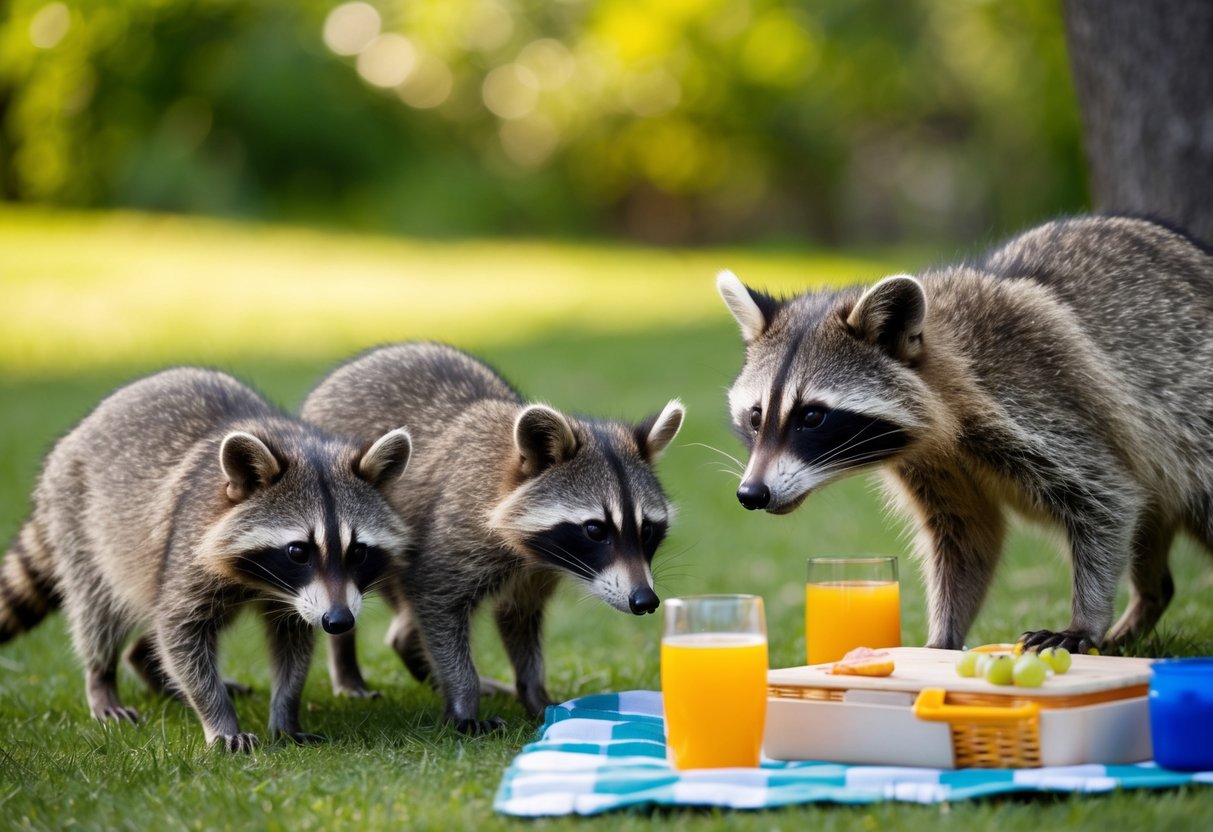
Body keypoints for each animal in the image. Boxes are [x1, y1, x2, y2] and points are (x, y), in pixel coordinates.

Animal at [0, 368, 412, 751]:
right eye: (298, 551)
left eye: (358, 551)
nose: (339, 621)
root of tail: (75, 436)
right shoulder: (189, 543)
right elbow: (179, 629)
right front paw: (218, 718)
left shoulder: (302, 599)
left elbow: (292, 641)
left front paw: (285, 712)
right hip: (79, 523)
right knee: (98, 611)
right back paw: (101, 678)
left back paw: (149, 667)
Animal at [300, 343, 683, 733]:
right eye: (595, 530)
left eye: (647, 529)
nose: (645, 600)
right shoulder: (452, 538)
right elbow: (437, 604)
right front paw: (462, 701)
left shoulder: (534, 575)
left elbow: (519, 619)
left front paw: (535, 694)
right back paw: (351, 671)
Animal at [717, 216, 1213, 654]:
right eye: (757, 416)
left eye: (812, 417)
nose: (751, 493)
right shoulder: (933, 463)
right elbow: (967, 533)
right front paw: (944, 635)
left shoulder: (1041, 401)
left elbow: (1107, 500)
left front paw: (1084, 621)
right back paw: (1149, 597)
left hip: (1194, 421)